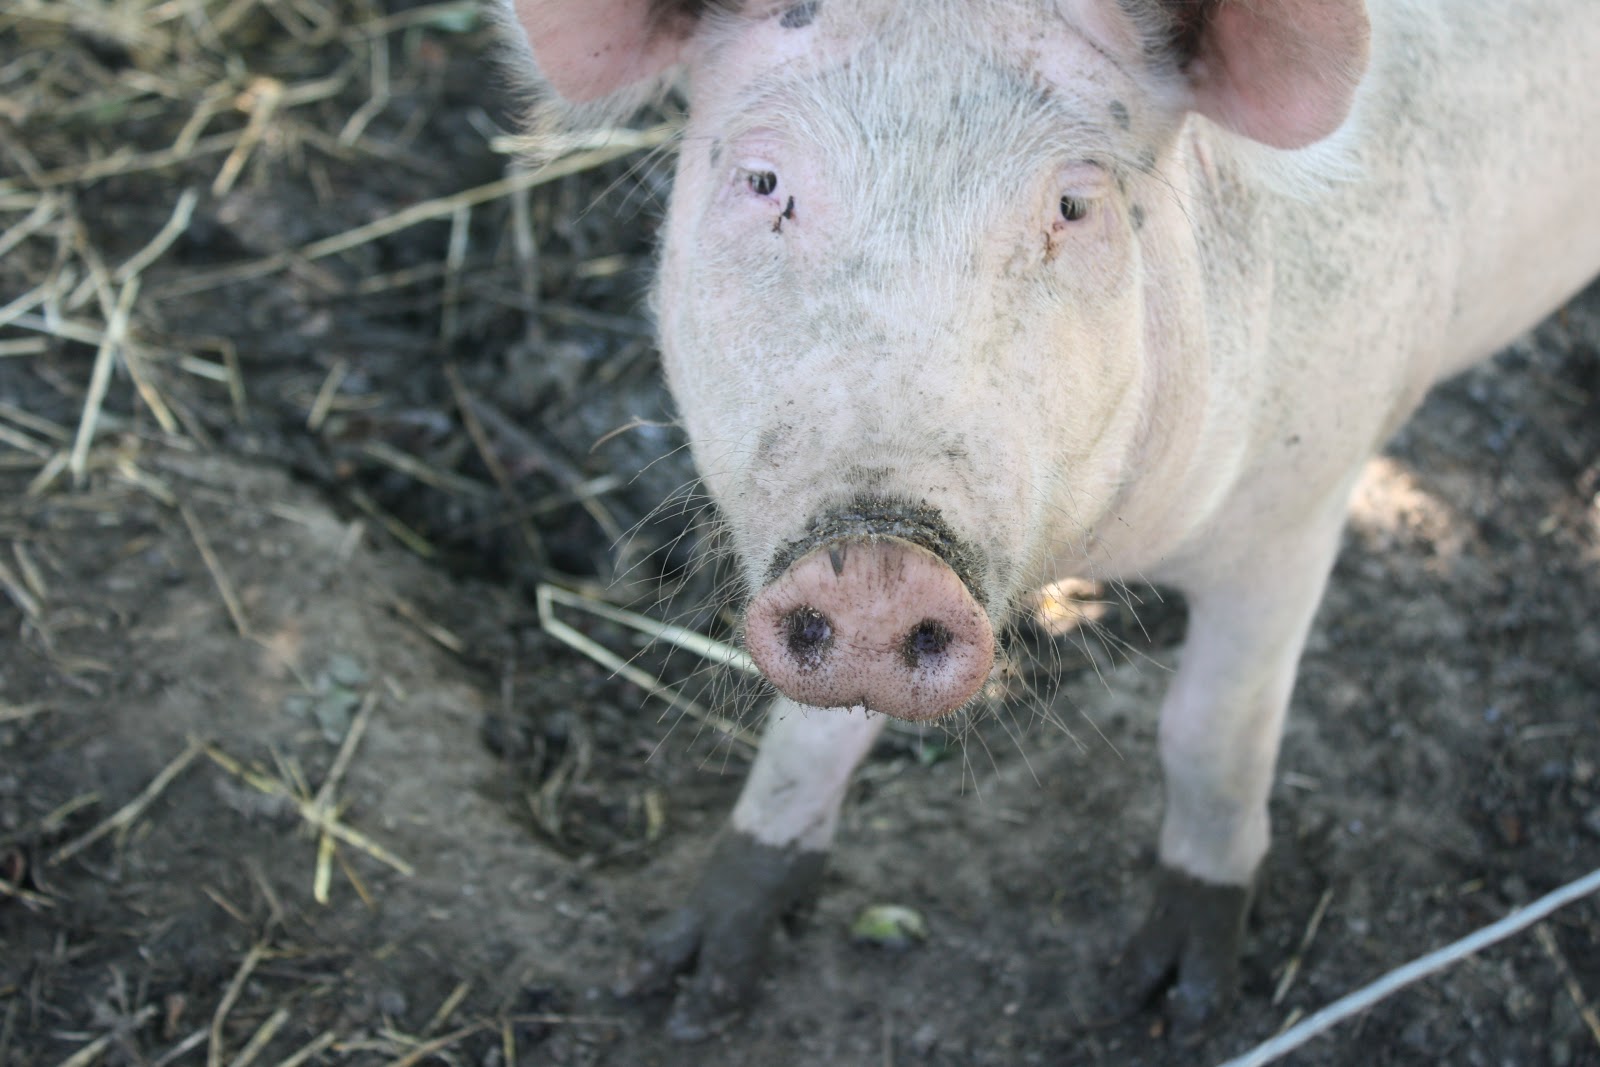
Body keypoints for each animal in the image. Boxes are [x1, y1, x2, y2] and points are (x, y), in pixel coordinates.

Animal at [501, 0, 1600, 1043]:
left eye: (1074, 204)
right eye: (767, 182)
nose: (878, 563)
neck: (1101, 552)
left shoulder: (1304, 497)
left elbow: (1213, 729)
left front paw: (1170, 1005)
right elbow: (811, 729)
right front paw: (678, 989)